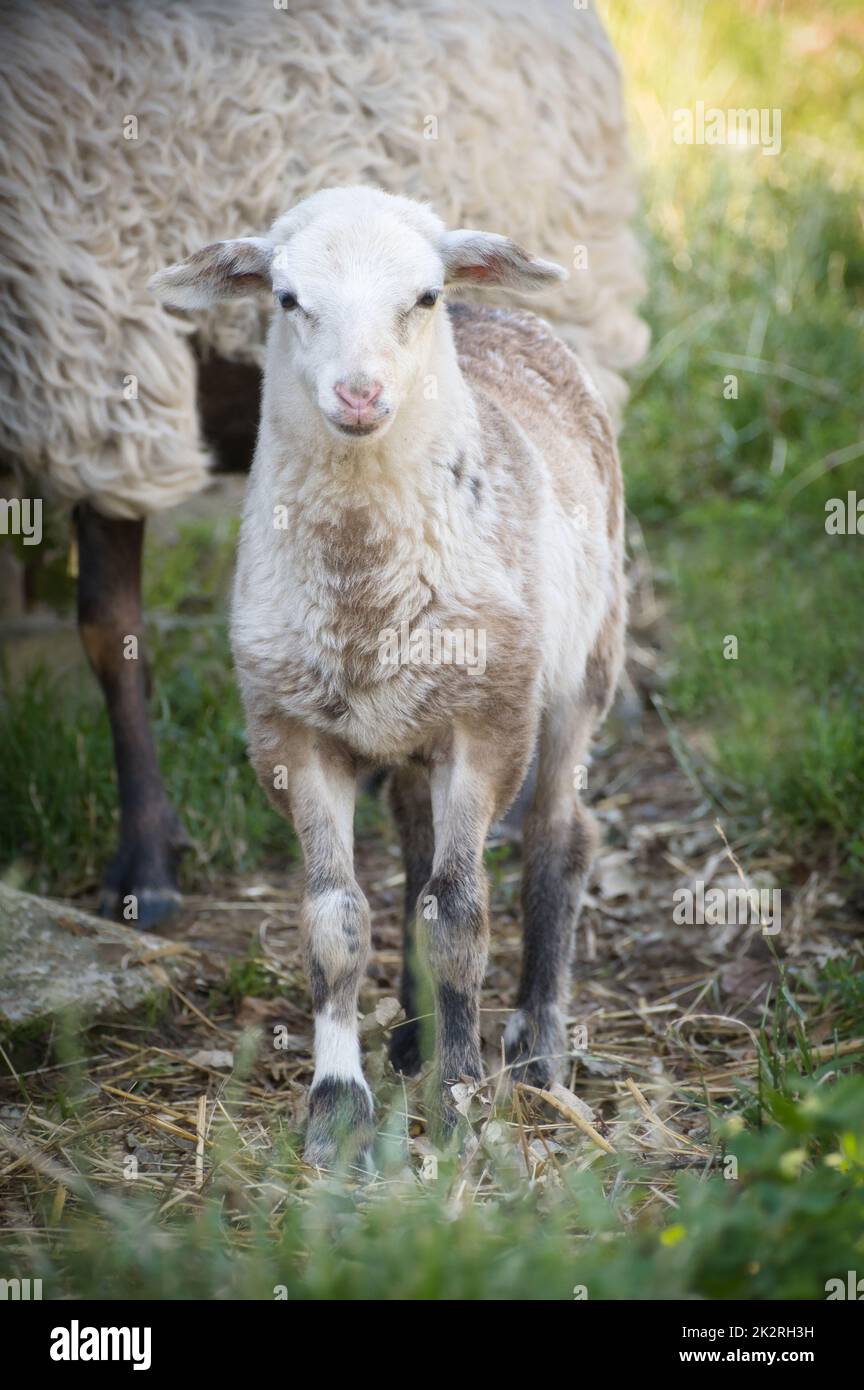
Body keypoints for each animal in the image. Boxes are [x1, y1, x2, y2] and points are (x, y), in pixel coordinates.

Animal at [0, 0, 645, 925]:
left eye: (424, 296)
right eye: (286, 299)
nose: (359, 396)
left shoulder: (92, 362)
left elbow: (106, 625)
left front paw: (146, 867)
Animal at [151, 185, 626, 1166]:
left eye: (423, 296)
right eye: (288, 299)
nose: (359, 393)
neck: (361, 575)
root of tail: (500, 313)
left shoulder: (488, 724)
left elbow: (460, 917)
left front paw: (460, 1101)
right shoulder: (289, 731)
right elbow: (335, 920)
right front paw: (338, 1108)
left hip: (581, 667)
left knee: (560, 838)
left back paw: (537, 1051)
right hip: (412, 718)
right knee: (414, 842)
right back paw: (412, 1037)